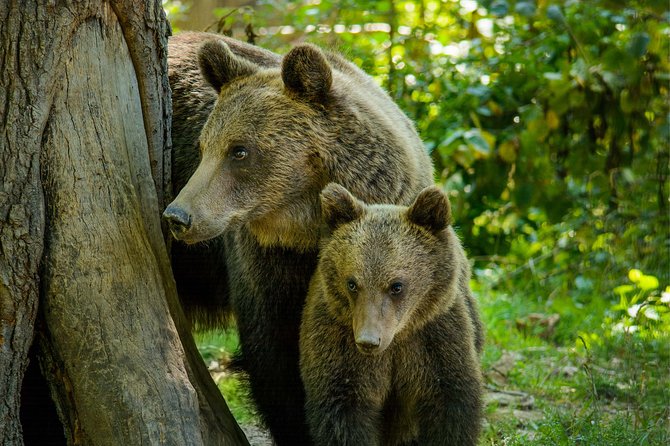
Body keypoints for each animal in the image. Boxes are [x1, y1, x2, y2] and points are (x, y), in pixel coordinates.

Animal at [164, 32, 436, 445]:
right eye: (202, 147)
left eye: (239, 150)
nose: (178, 216)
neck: (306, 230)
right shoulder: (267, 262)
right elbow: (275, 357)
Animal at [300, 183, 484, 446]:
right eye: (352, 283)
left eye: (396, 285)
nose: (368, 341)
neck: (397, 338)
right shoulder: (337, 340)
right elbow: (343, 409)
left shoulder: (435, 336)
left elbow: (449, 403)